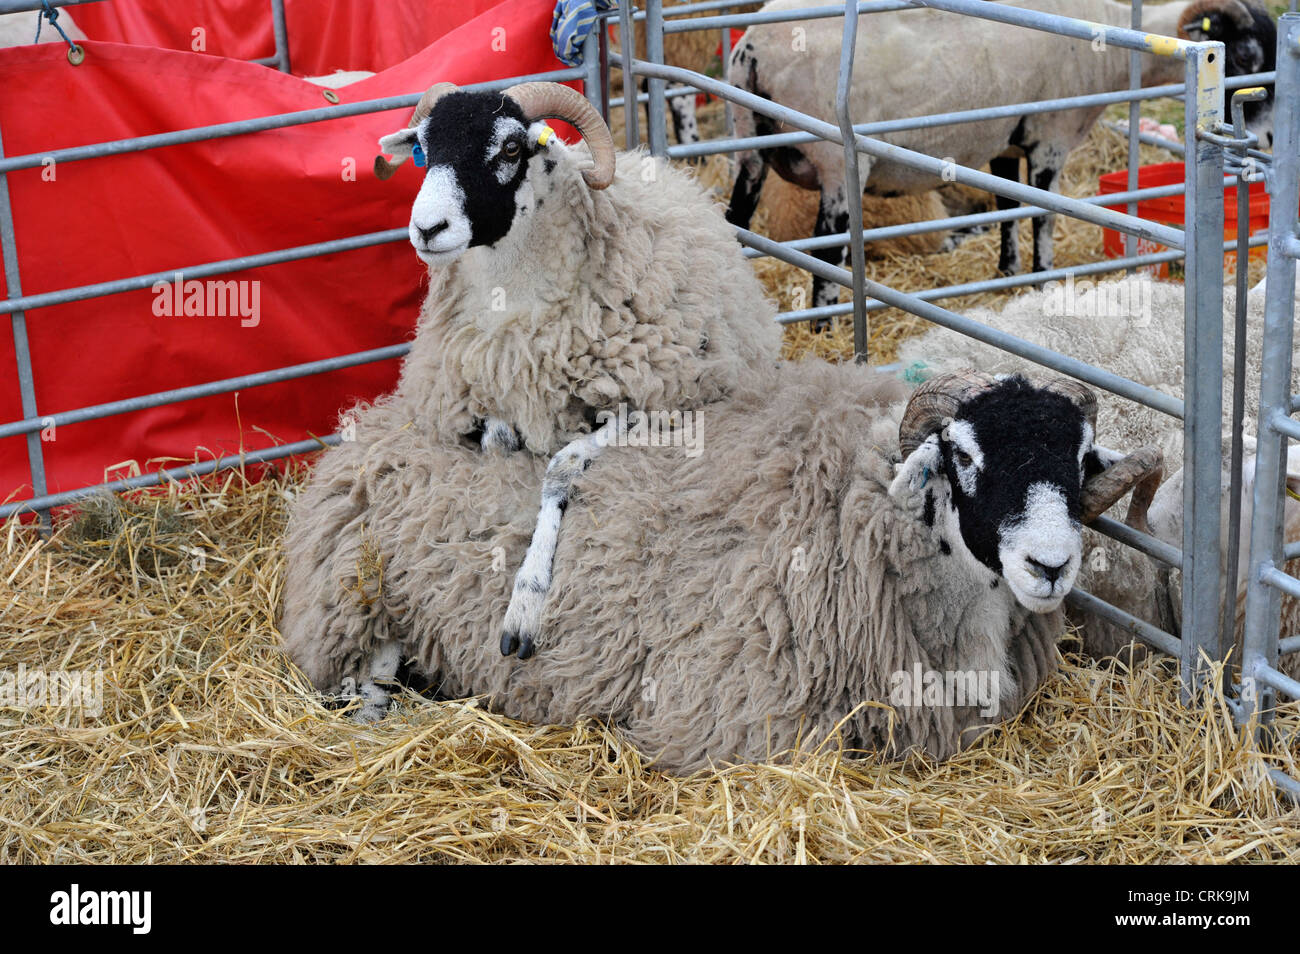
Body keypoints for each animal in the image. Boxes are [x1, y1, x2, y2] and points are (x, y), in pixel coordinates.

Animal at [280, 359, 1162, 771]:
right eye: (963, 456)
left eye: (1078, 459)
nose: (1050, 566)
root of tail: (382, 413)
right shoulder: (725, 714)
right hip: (350, 592)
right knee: (359, 662)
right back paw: (376, 701)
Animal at [725, 0, 1279, 316]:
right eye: (1244, 55)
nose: (1270, 139)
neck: (1112, 47)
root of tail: (753, 48)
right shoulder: (1050, 138)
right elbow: (1042, 216)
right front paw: (1044, 279)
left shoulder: (1008, 142)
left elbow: (1009, 211)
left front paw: (1010, 276)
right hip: (837, 160)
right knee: (825, 250)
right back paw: (825, 325)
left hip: (748, 153)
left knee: (735, 223)